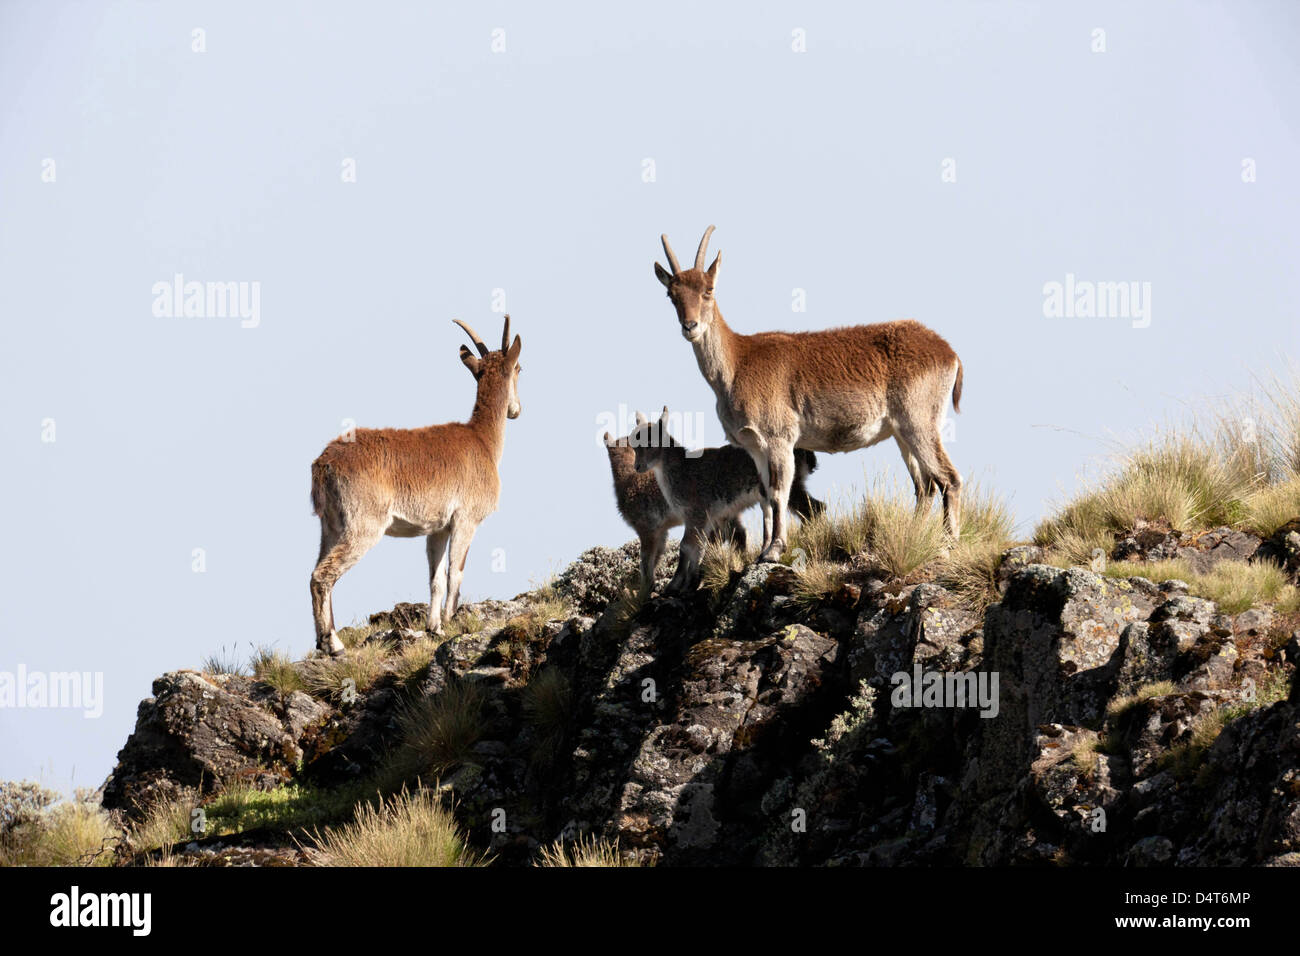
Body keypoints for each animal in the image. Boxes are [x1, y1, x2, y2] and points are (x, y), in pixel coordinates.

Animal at [309, 316, 522, 654]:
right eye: (519, 369)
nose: (516, 410)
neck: (483, 440)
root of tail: (324, 464)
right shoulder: (466, 519)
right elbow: (455, 573)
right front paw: (450, 621)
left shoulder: (437, 528)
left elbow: (435, 578)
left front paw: (434, 626)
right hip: (362, 525)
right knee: (322, 575)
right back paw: (334, 643)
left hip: (330, 526)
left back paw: (323, 641)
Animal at [604, 415, 823, 598]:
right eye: (634, 444)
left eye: (650, 442)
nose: (638, 466)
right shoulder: (698, 519)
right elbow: (695, 547)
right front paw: (688, 583)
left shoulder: (691, 515)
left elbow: (681, 548)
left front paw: (678, 585)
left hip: (789, 488)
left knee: (814, 509)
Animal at [655, 226, 963, 563]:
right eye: (671, 295)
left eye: (708, 289)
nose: (690, 326)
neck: (737, 363)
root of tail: (948, 353)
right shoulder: (754, 447)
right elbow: (765, 496)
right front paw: (762, 550)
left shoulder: (779, 438)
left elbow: (779, 492)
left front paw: (775, 550)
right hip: (901, 432)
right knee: (925, 486)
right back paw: (914, 537)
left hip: (919, 421)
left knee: (949, 478)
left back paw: (948, 545)